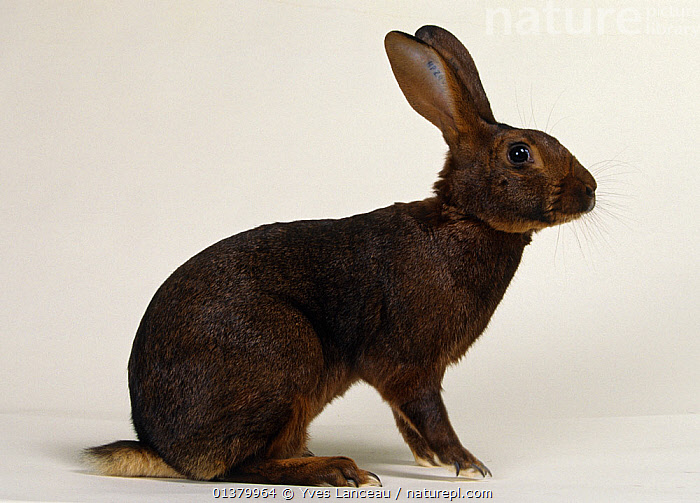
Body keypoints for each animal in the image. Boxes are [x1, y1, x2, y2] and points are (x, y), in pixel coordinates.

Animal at [84, 25, 596, 487]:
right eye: (519, 153)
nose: (589, 191)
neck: (464, 218)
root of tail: (162, 448)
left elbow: (407, 419)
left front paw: (431, 462)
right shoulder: (409, 362)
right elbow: (428, 412)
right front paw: (467, 465)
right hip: (282, 359)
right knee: (237, 465)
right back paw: (339, 469)